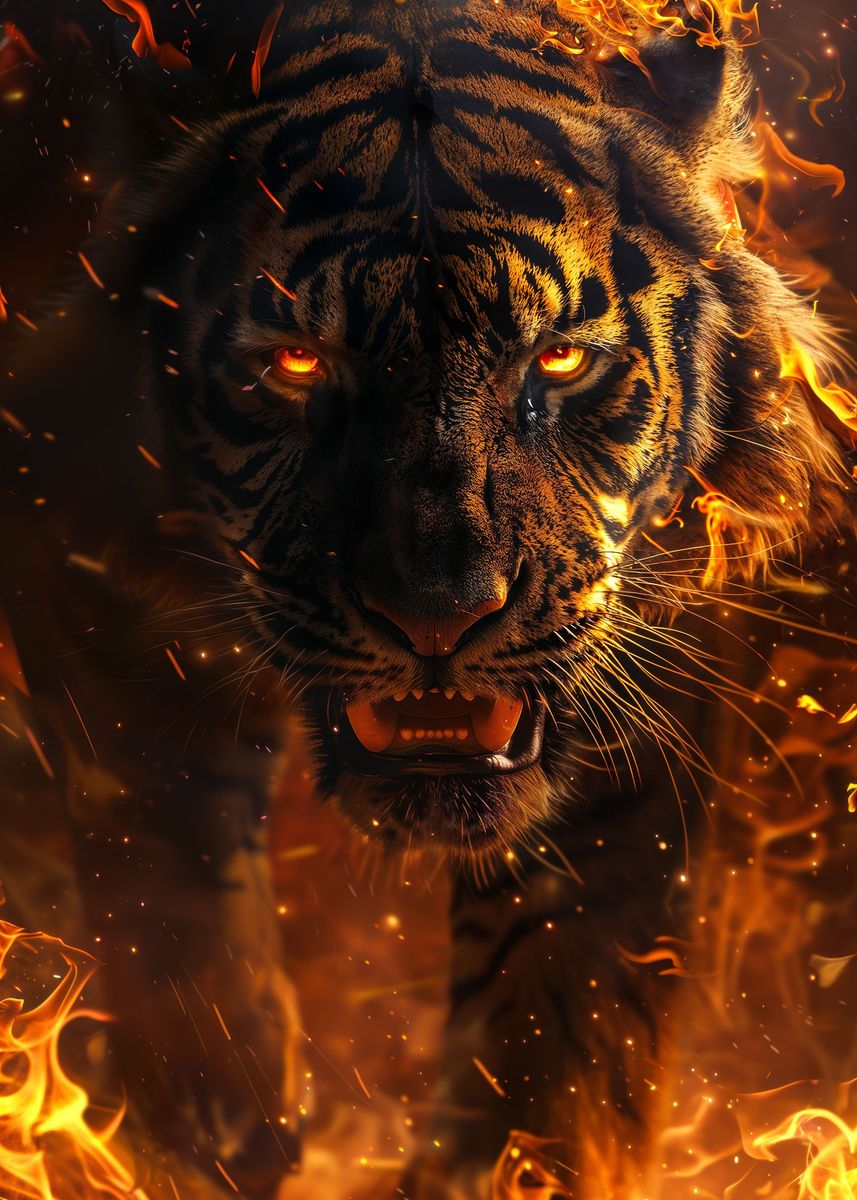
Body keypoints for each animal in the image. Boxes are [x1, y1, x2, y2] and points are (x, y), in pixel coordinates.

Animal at [1, 0, 854, 1197]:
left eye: (558, 362)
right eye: (299, 364)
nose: (439, 614)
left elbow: (555, 1015)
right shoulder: (93, 589)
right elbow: (177, 916)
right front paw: (225, 1127)